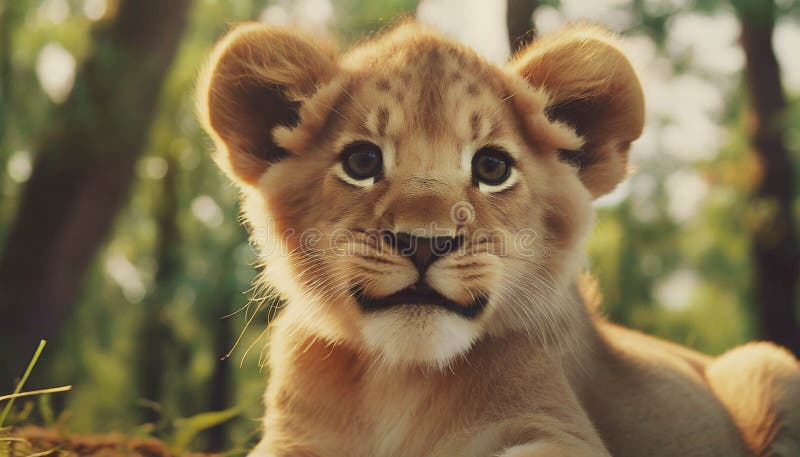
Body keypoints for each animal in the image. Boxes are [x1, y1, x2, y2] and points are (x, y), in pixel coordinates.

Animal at [196, 21, 800, 457]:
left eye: (491, 167)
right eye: (362, 162)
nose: (424, 243)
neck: (395, 380)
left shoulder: (554, 428)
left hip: (765, 365)